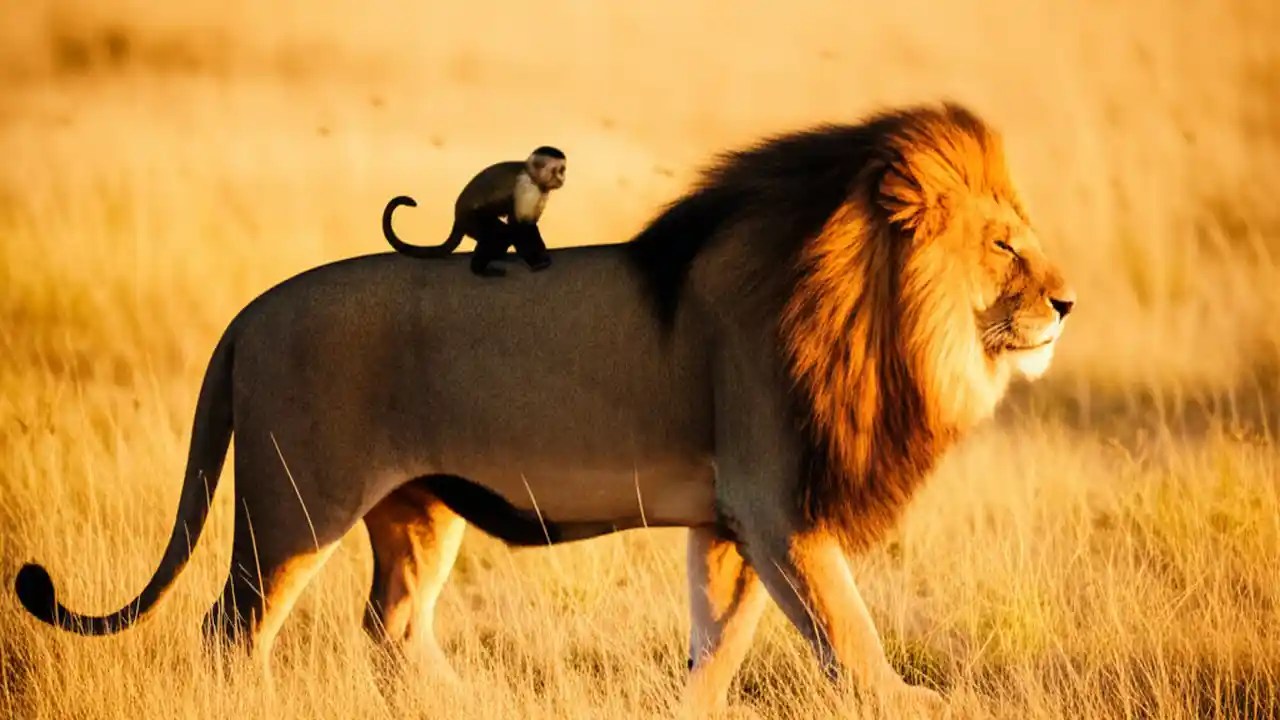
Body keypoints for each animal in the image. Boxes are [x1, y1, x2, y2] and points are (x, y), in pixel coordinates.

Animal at [381, 146, 566, 277]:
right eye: (559, 170)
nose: (562, 178)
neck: (533, 177)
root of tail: (457, 215)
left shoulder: (541, 191)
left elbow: (529, 224)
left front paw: (541, 255)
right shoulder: (526, 187)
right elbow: (519, 226)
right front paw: (537, 261)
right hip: (471, 219)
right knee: (498, 234)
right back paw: (479, 269)